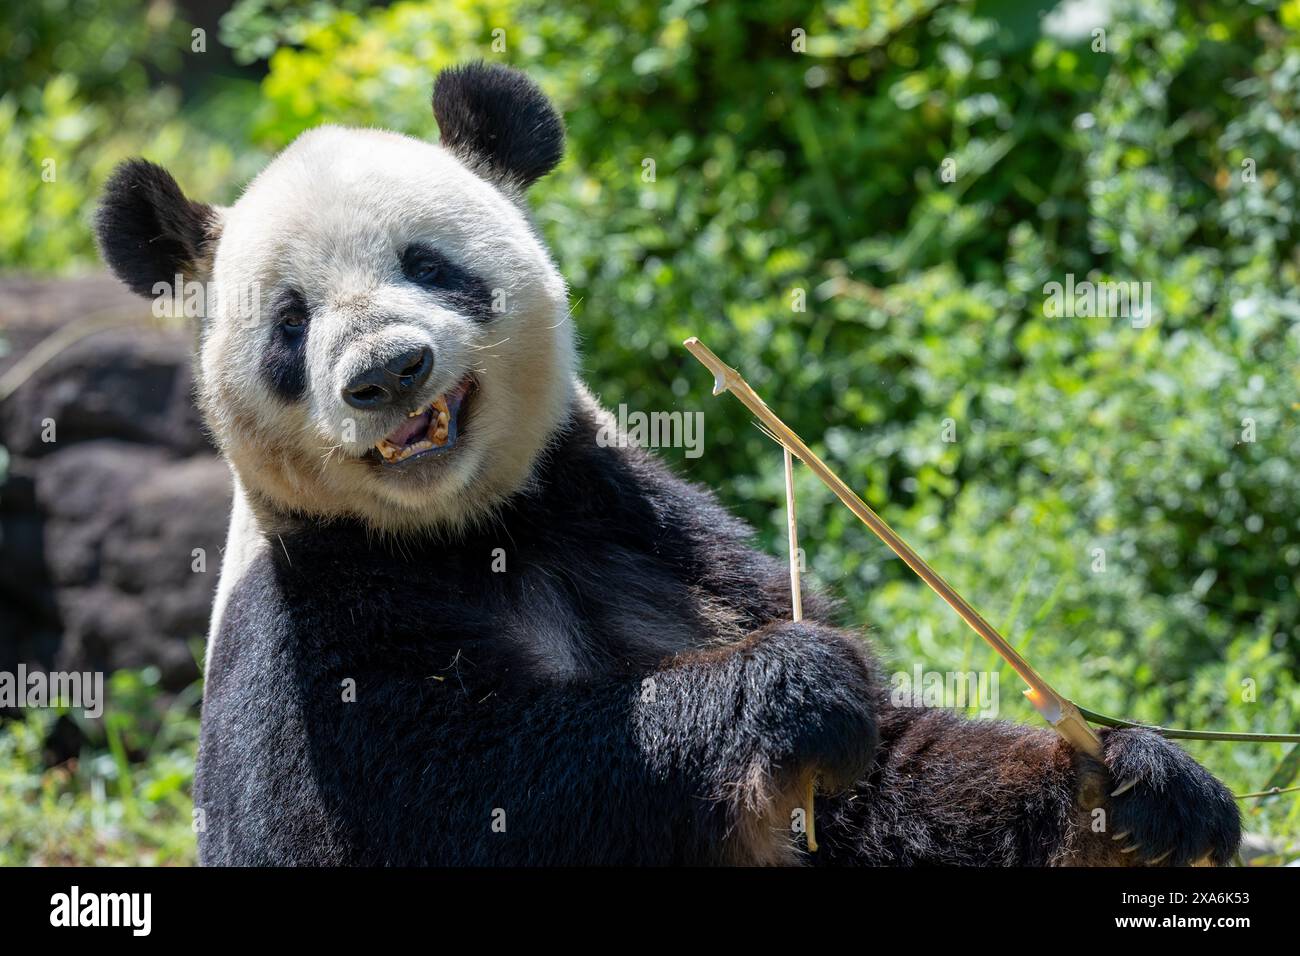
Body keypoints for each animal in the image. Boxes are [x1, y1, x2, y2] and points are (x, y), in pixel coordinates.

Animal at [94, 62, 1240, 866]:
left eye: (428, 264)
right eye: (290, 324)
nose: (386, 369)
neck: (474, 528)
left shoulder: (634, 522)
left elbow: (881, 786)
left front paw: (1128, 789)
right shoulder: (315, 628)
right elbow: (473, 801)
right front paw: (789, 685)